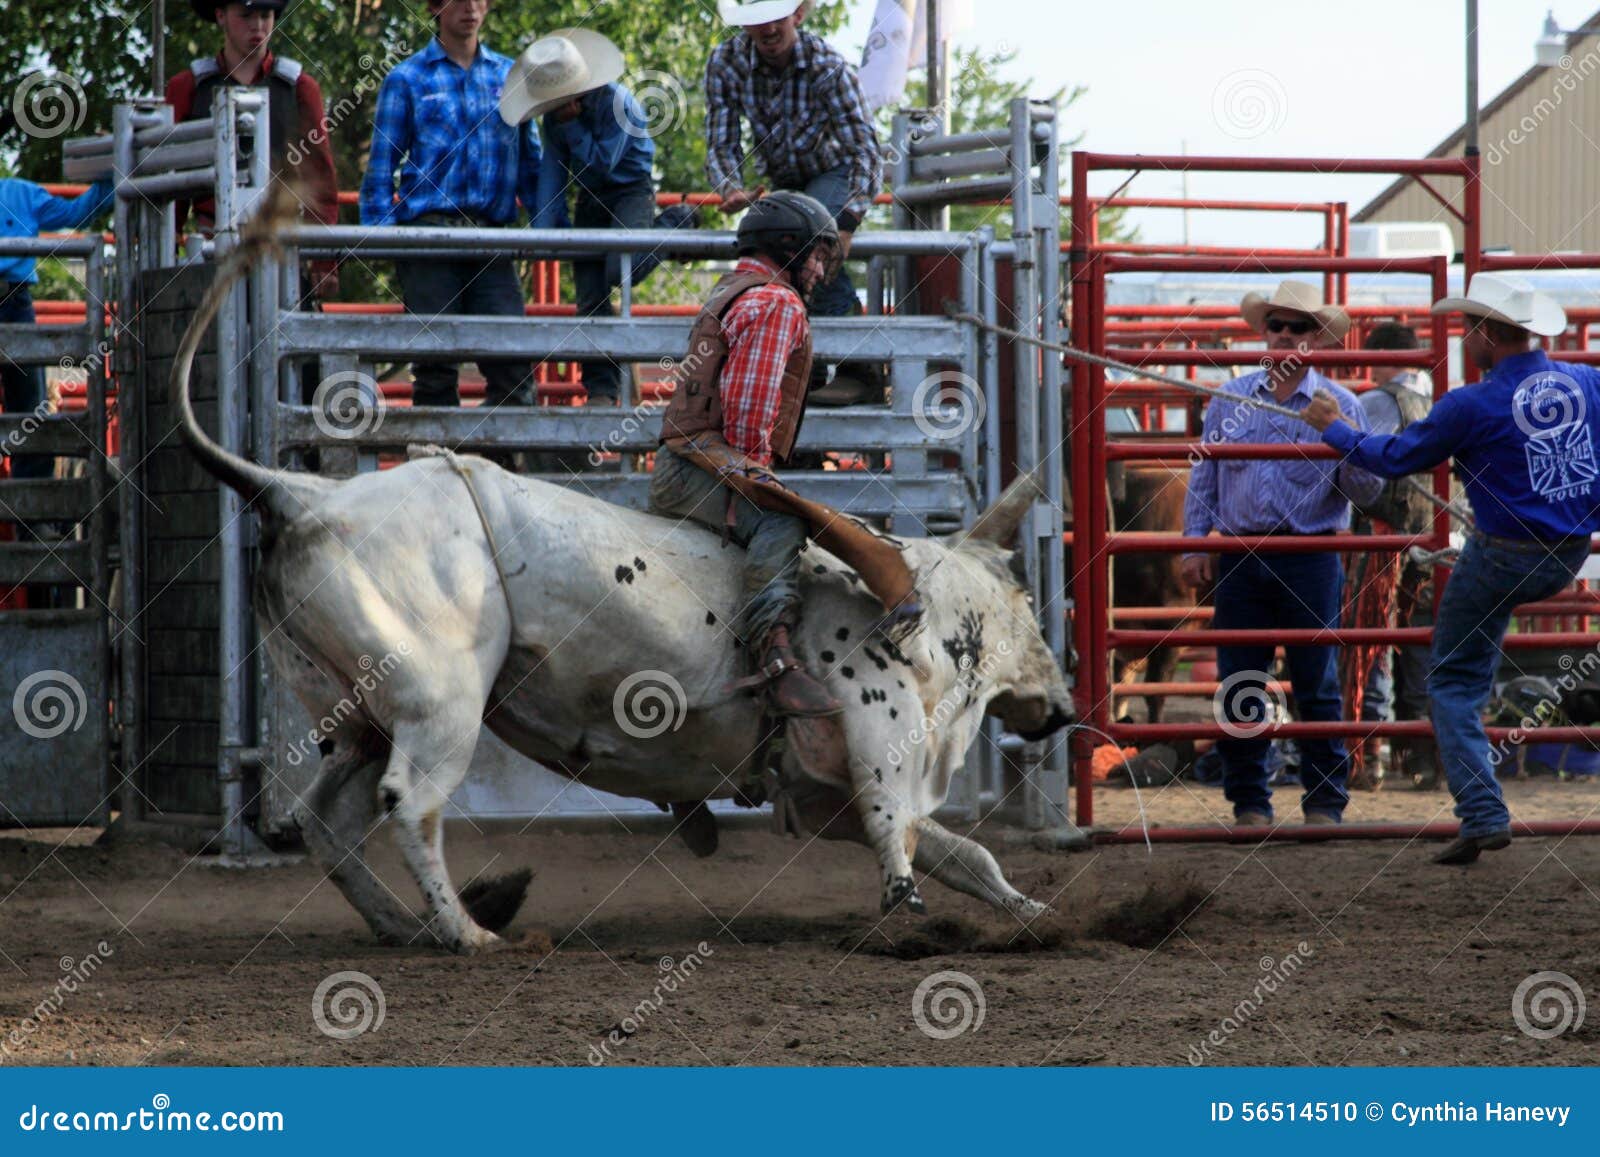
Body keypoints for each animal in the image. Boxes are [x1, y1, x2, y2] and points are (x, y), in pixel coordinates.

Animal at [170, 218, 1075, 954]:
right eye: (1031, 604)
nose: (1065, 709)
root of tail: (303, 493)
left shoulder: (821, 797)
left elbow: (965, 851)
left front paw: (1033, 912)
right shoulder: (877, 726)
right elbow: (901, 828)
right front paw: (905, 909)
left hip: (357, 715)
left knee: (330, 821)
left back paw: (402, 924)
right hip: (438, 699)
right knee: (411, 802)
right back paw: (468, 932)